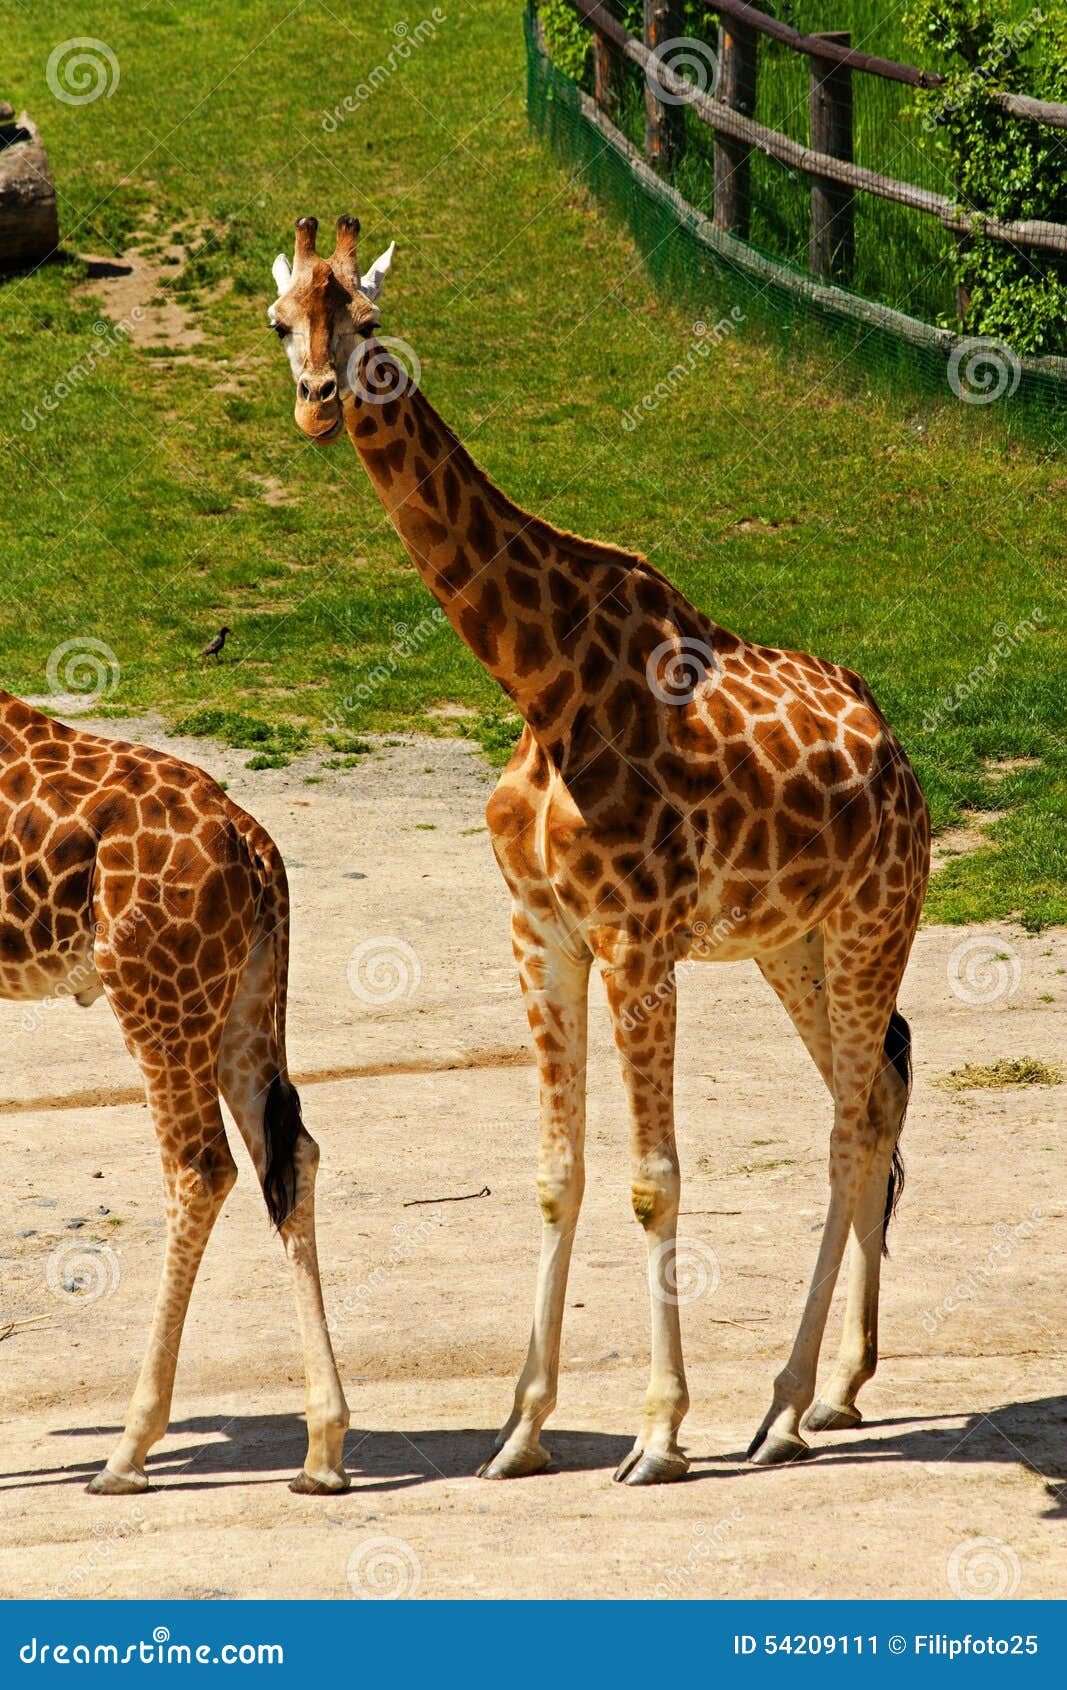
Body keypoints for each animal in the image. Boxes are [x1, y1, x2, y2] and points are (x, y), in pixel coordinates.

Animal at [0, 693, 349, 1494]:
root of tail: (252, 841)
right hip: (243, 995)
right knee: (289, 1153)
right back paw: (322, 1454)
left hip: (156, 995)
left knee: (199, 1167)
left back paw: (126, 1454)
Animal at [269, 214, 930, 1483]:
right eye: (282, 322)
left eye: (368, 320)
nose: (321, 403)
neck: (538, 675)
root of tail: (900, 762)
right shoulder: (542, 931)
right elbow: (554, 1175)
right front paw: (520, 1429)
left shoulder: (636, 939)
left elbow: (649, 1180)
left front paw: (658, 1433)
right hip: (795, 941)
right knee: (871, 1094)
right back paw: (828, 1393)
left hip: (875, 918)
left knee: (846, 1126)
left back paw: (779, 1406)